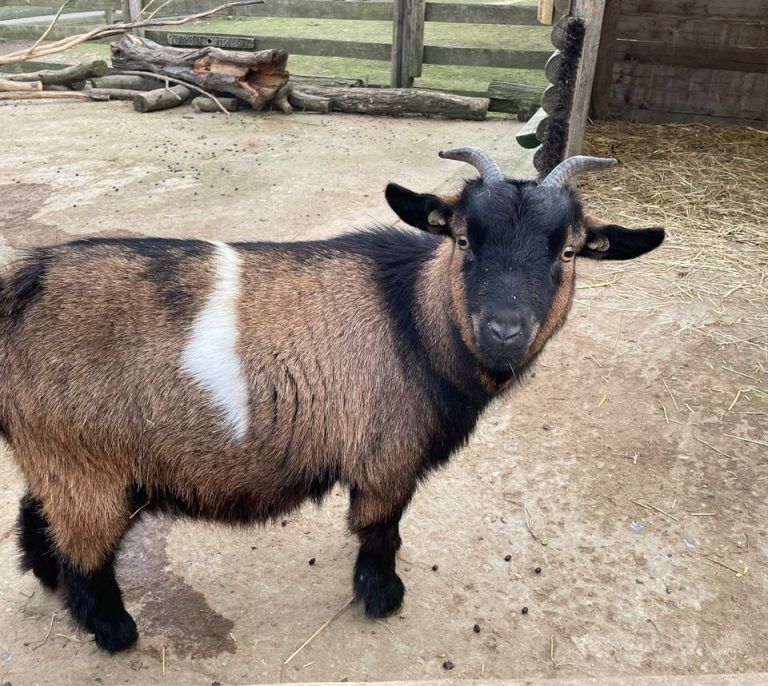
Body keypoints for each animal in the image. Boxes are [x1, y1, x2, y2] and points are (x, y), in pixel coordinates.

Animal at [2, 148, 664, 652]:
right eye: (463, 238)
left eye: (569, 251)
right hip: (82, 461)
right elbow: (380, 531)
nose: (504, 329)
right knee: (87, 551)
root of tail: (20, 291)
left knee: (38, 515)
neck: (412, 318)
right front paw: (383, 598)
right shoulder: (388, 456)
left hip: (59, 455)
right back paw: (114, 630)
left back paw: (47, 578)